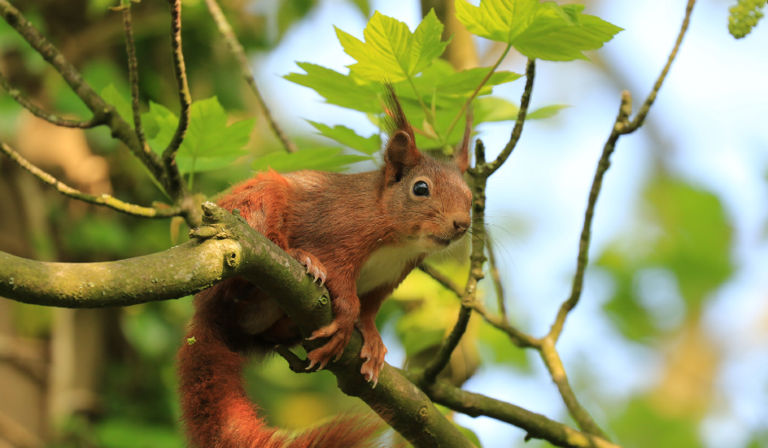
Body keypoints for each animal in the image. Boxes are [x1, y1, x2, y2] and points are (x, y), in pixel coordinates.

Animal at [177, 87, 473, 448]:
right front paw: (346, 318)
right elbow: (345, 288)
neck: (399, 241)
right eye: (420, 188)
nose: (462, 224)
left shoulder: (389, 278)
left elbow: (369, 310)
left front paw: (372, 340)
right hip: (256, 206)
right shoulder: (338, 237)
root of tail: (206, 316)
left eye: (471, 195)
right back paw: (300, 257)